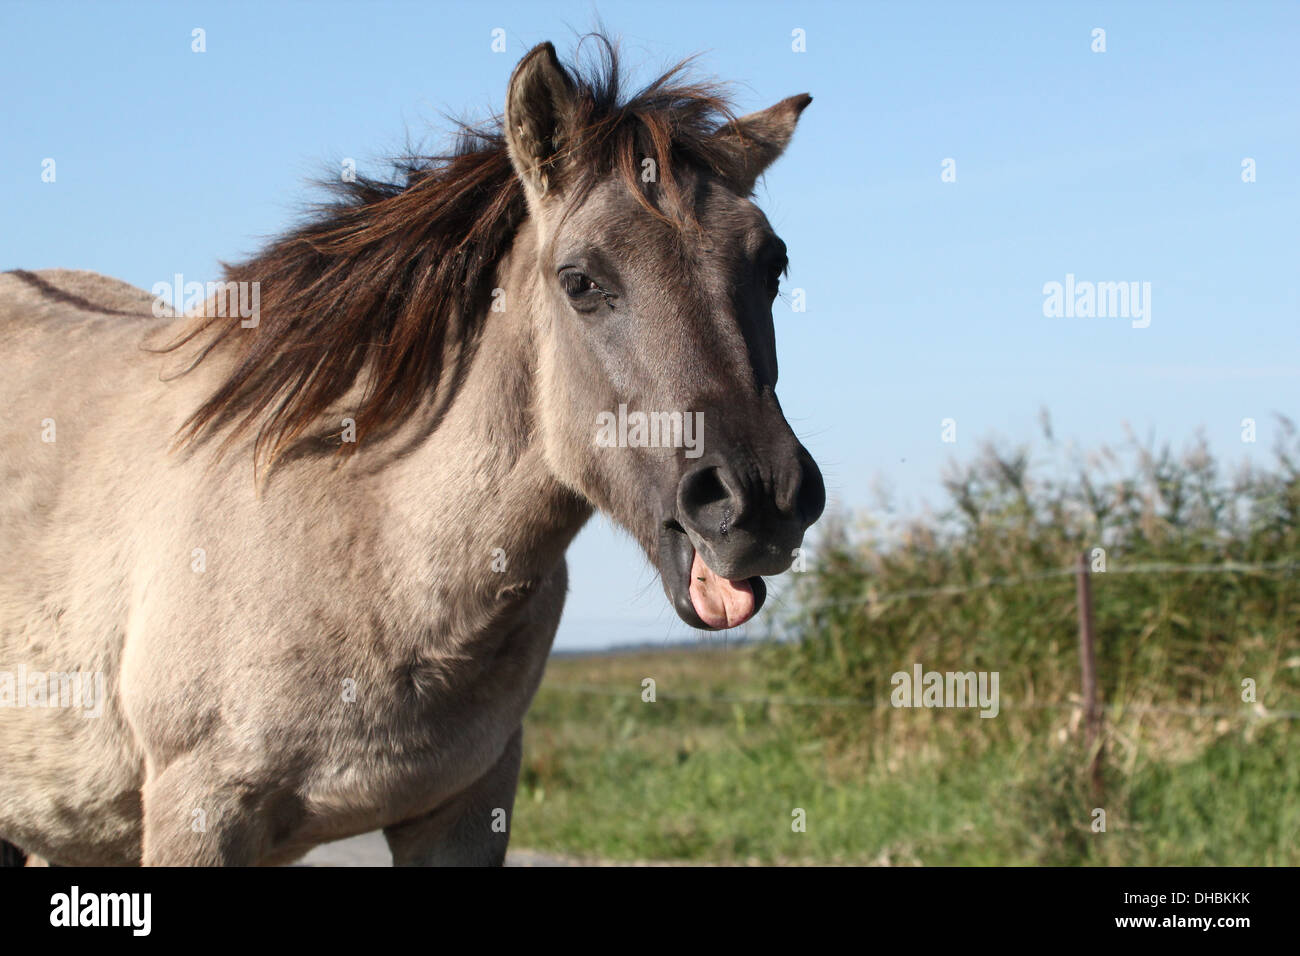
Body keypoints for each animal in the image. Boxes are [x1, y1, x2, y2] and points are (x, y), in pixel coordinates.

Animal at [0, 37, 824, 866]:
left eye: (773, 263)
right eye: (581, 280)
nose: (760, 499)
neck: (370, 536)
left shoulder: (465, 807)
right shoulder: (197, 811)